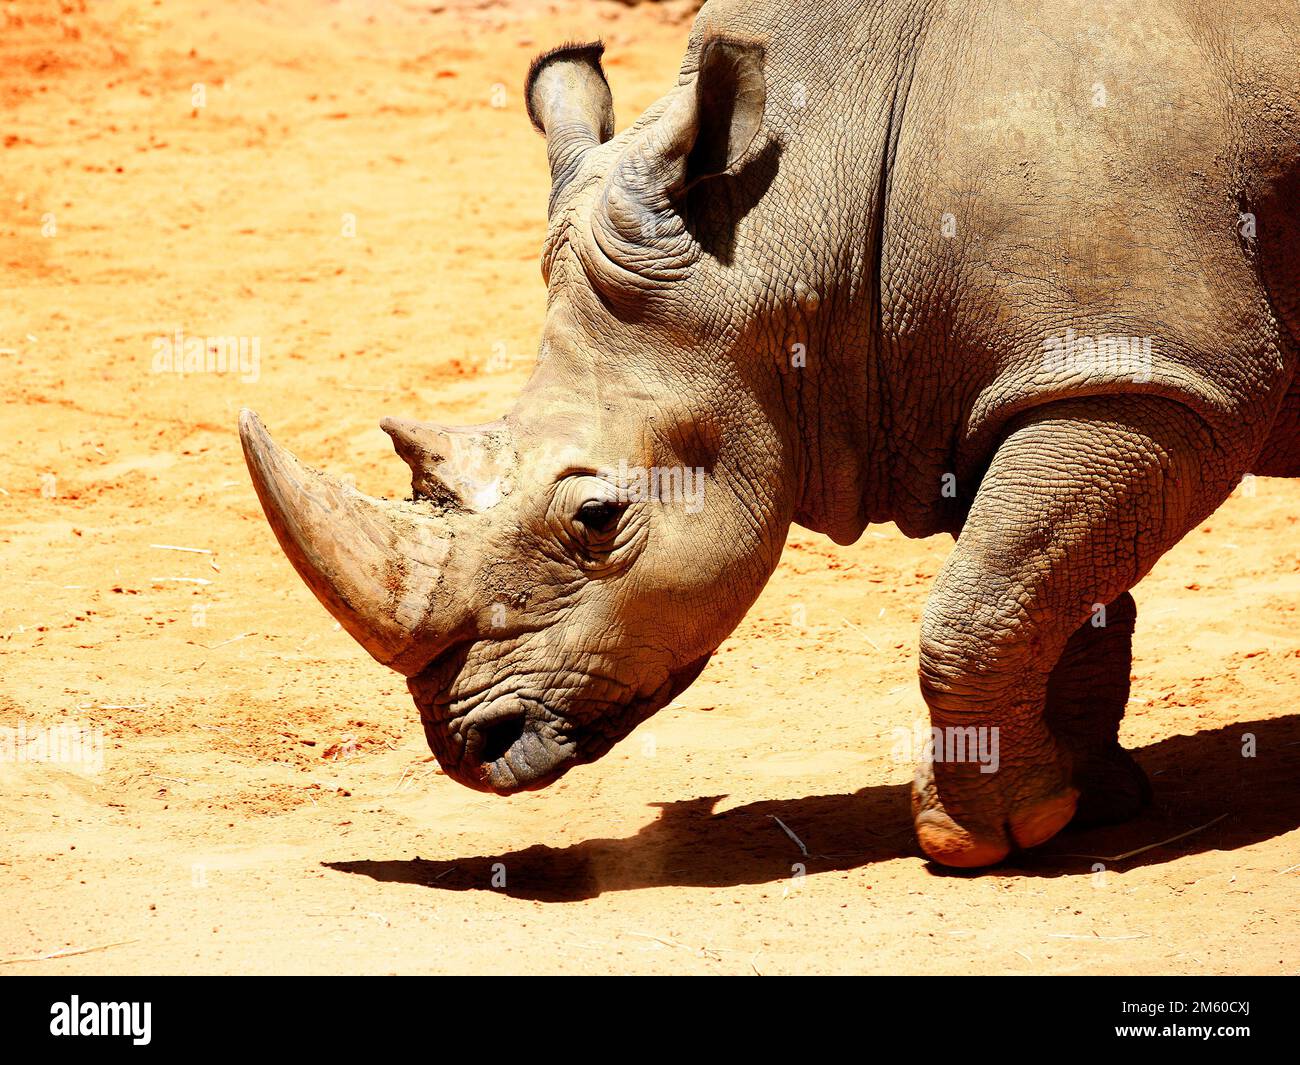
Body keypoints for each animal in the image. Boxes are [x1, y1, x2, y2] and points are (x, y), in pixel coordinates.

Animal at [240, 0, 1300, 867]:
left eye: (595, 518)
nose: (470, 747)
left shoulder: (1156, 375)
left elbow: (984, 598)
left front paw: (985, 836)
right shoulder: (1051, 377)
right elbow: (1050, 586)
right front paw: (1085, 802)